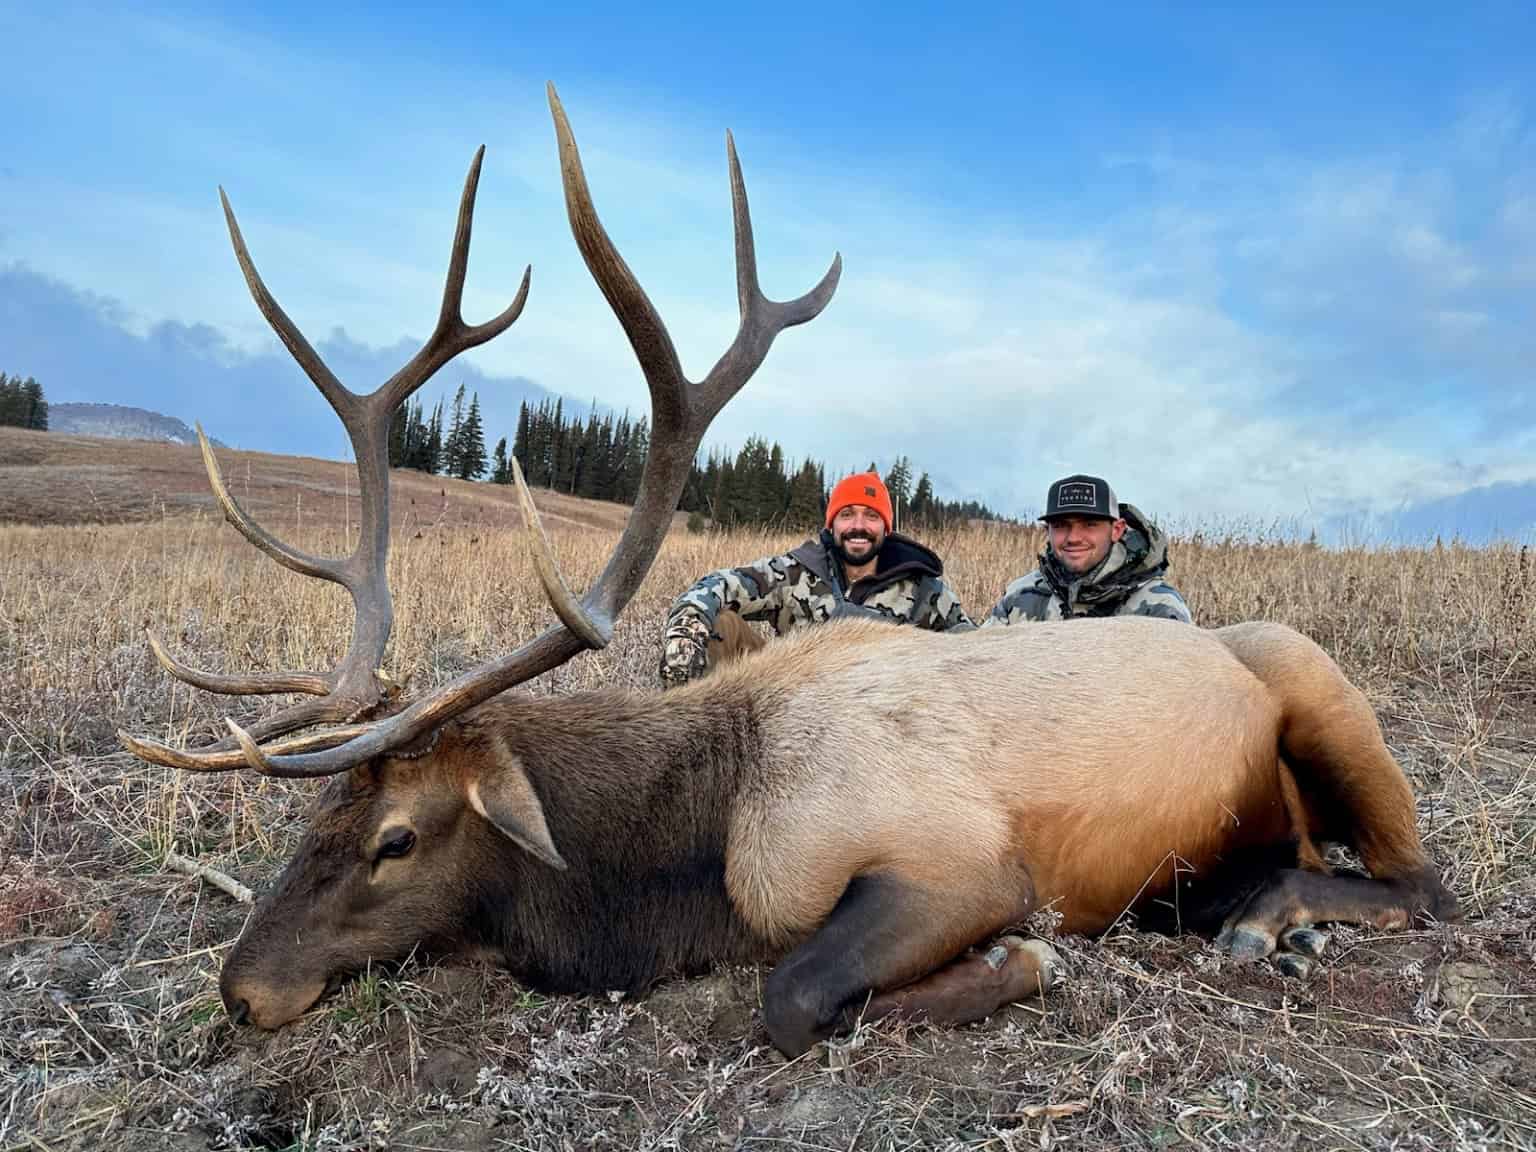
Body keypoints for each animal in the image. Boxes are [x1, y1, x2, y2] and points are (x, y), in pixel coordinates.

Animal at [119, 83, 1459, 1061]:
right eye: (320, 818)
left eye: (396, 838)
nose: (240, 991)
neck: (689, 858)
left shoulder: (957, 862)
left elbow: (793, 996)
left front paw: (1018, 959)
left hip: (1320, 692)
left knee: (1423, 881)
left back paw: (1268, 920)